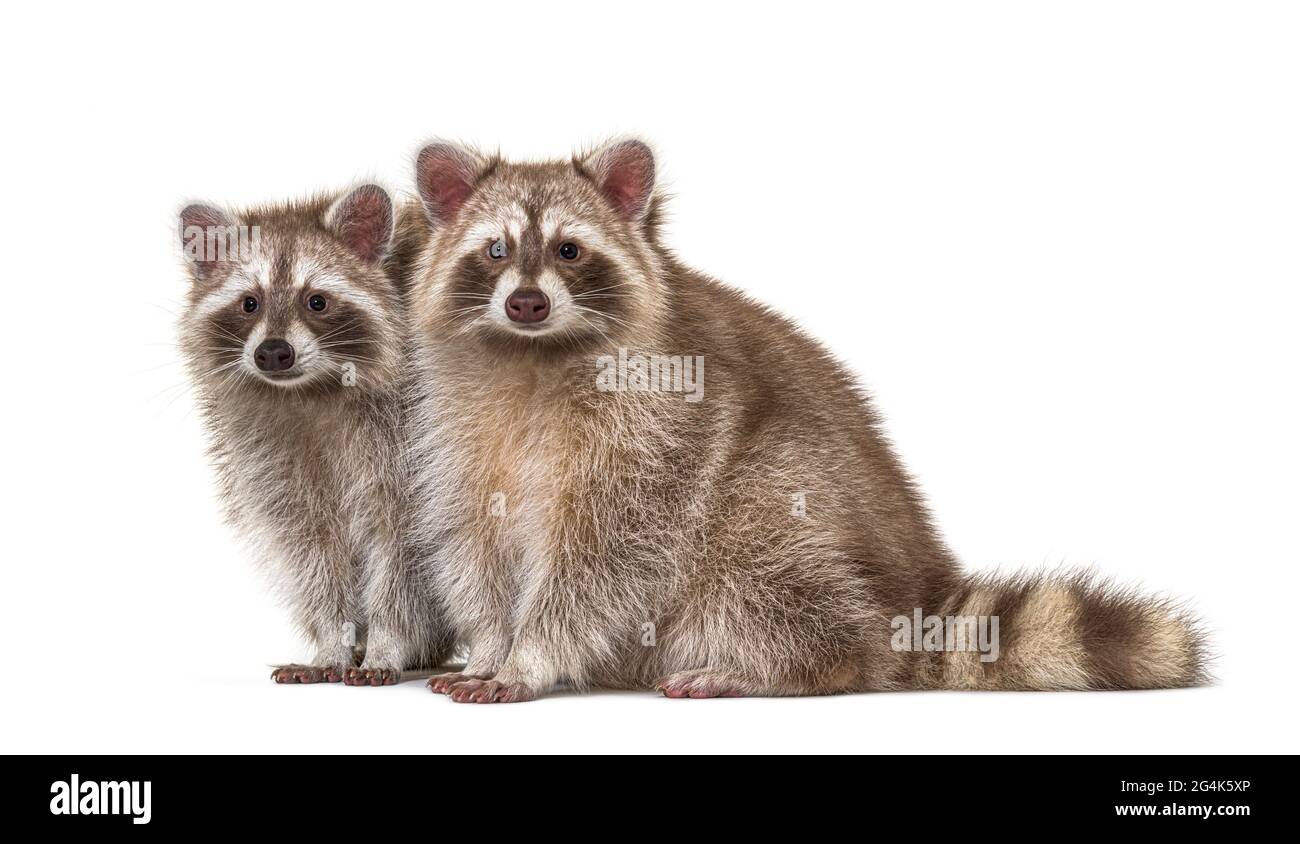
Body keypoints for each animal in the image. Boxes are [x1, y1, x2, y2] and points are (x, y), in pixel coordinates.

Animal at [177, 185, 451, 685]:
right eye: (249, 302)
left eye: (317, 301)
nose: (272, 352)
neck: (310, 391)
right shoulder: (267, 450)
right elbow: (312, 550)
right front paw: (333, 641)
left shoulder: (413, 437)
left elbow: (403, 554)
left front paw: (387, 642)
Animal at [406, 140, 1207, 702]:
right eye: (496, 249)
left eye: (569, 250)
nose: (527, 302)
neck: (533, 357)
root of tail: (916, 583)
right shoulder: (458, 430)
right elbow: (473, 541)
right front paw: (490, 642)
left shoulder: (657, 428)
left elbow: (605, 557)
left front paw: (529, 655)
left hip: (788, 504)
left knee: (760, 544)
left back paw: (787, 665)